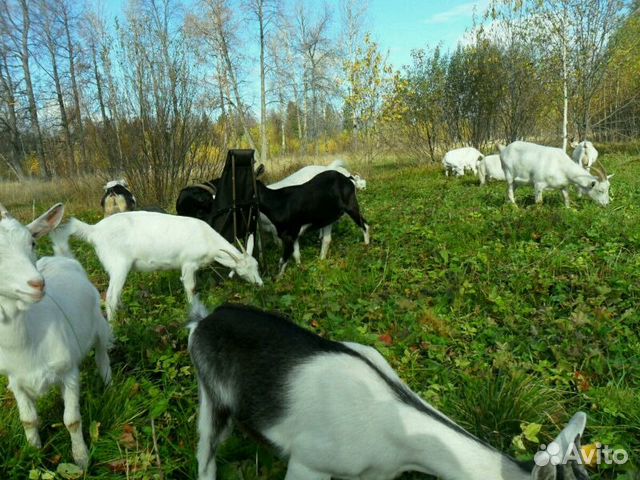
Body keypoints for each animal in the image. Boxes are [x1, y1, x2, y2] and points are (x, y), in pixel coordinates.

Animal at [0, 202, 112, 469]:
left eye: (32, 242)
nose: (36, 284)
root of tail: (62, 257)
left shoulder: (69, 370)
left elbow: (71, 419)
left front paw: (81, 459)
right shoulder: (15, 381)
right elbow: (28, 420)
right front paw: (33, 454)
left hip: (99, 322)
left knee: (102, 352)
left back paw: (108, 383)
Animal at [50, 211, 262, 322]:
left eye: (257, 266)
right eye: (246, 269)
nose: (260, 284)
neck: (207, 239)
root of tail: (93, 231)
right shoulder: (188, 263)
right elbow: (190, 287)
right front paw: (192, 309)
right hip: (119, 264)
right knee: (110, 297)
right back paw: (115, 326)